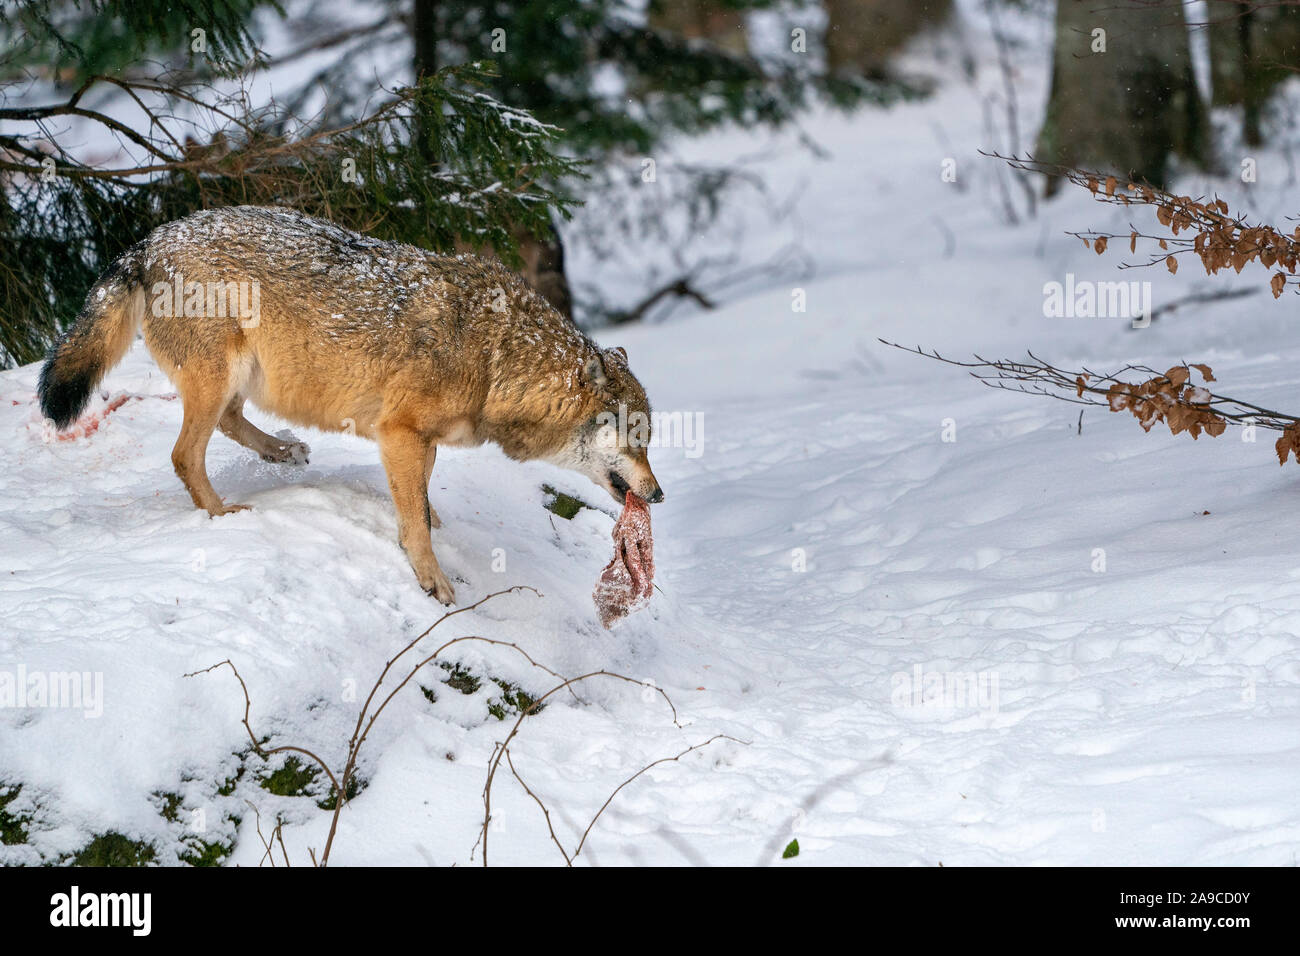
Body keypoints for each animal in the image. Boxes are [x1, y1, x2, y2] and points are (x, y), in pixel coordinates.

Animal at [38, 206, 664, 604]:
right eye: (636, 437)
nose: (657, 494)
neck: (495, 358)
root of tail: (147, 243)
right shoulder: (401, 432)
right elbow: (416, 523)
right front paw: (431, 578)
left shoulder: (419, 441)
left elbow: (420, 502)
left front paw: (428, 522)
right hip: (218, 379)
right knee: (184, 455)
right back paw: (223, 515)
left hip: (241, 382)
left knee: (233, 425)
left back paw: (283, 452)